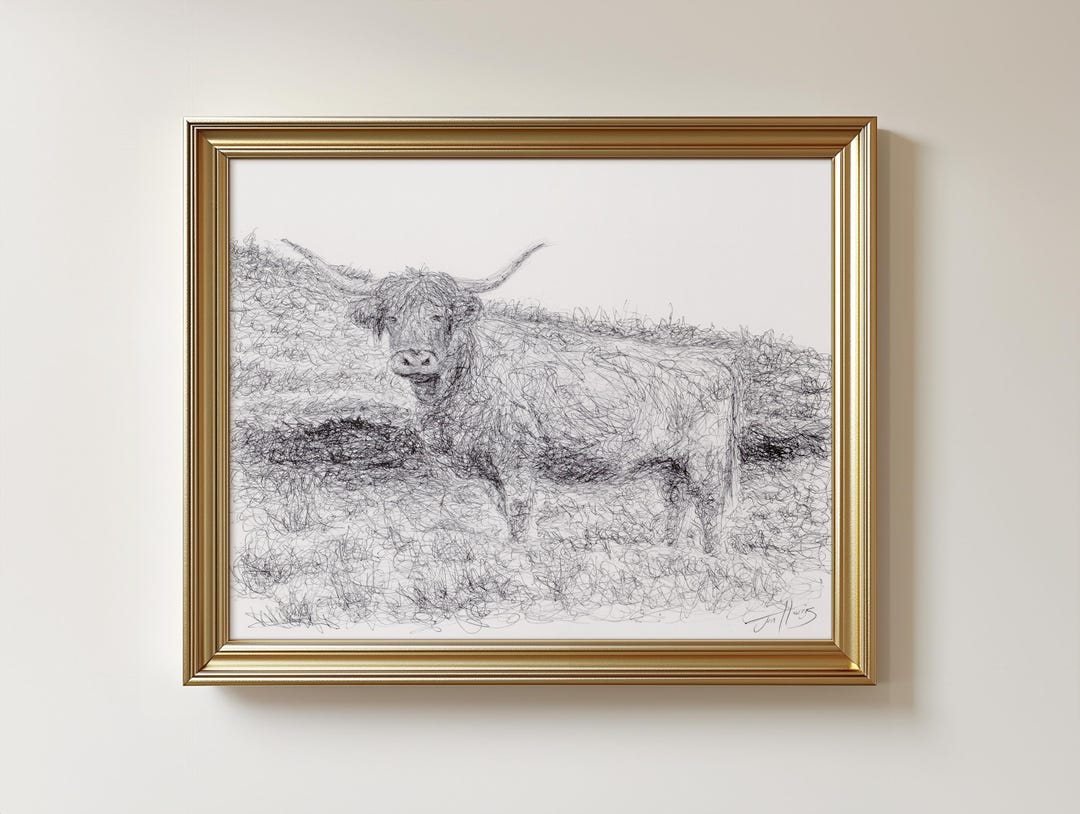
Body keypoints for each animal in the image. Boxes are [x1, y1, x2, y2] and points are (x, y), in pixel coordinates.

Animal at [285, 239, 740, 556]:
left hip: (706, 458)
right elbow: (504, 506)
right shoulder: (487, 465)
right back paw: (666, 549)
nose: (415, 358)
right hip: (671, 463)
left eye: (440, 315)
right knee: (676, 502)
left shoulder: (516, 456)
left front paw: (522, 552)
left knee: (710, 504)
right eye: (391, 317)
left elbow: (520, 506)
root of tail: (717, 361)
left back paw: (711, 557)